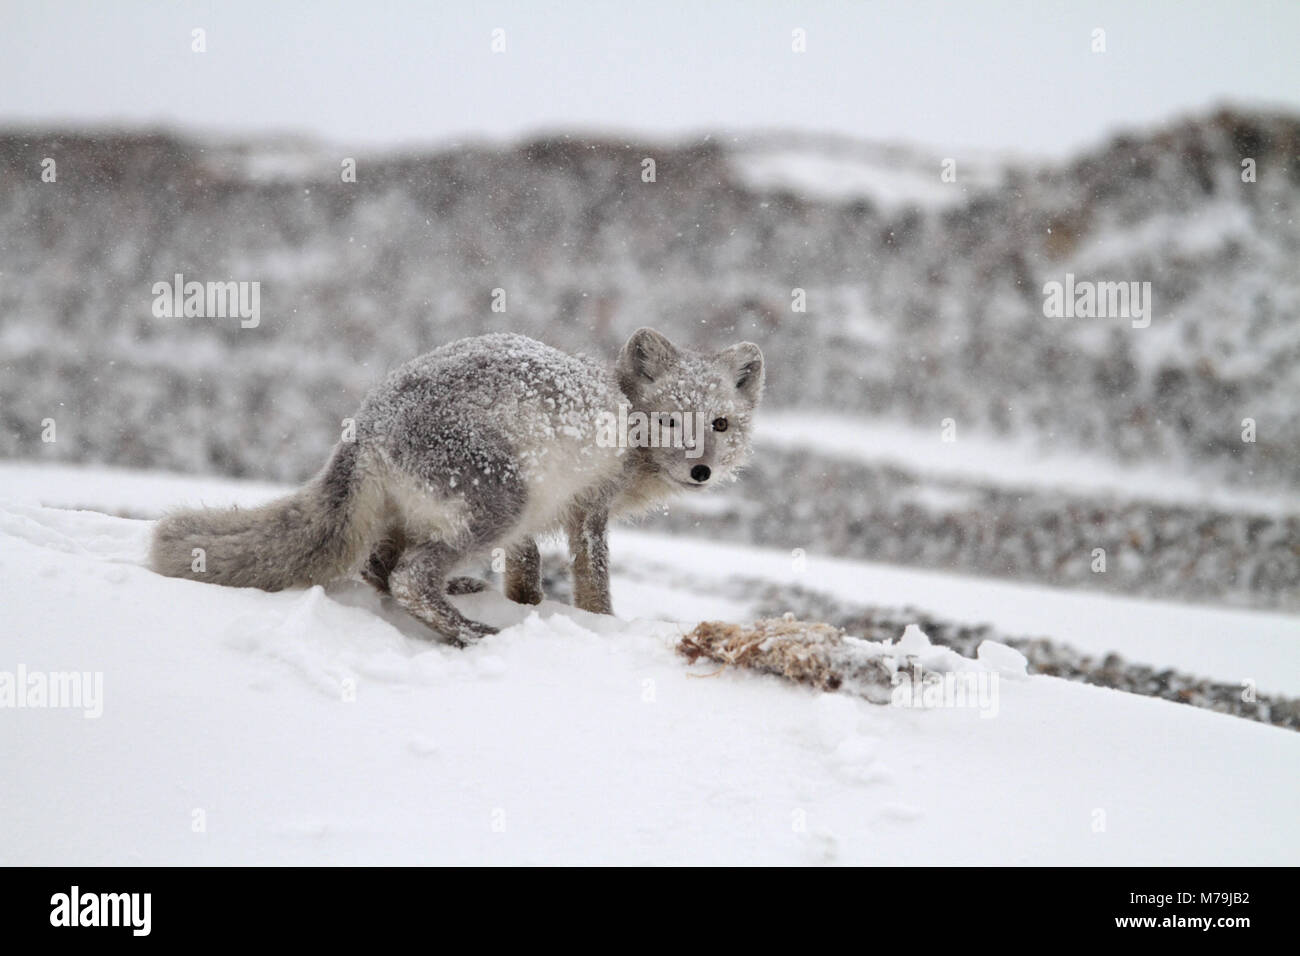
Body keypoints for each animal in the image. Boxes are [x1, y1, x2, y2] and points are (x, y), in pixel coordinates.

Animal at [150, 328, 764, 644]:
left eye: (719, 425)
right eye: (669, 422)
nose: (702, 472)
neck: (624, 416)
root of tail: (368, 422)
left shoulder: (536, 520)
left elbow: (526, 573)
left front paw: (527, 605)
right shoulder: (587, 510)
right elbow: (594, 581)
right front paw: (602, 625)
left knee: (381, 570)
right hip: (499, 500)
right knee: (406, 578)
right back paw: (471, 632)